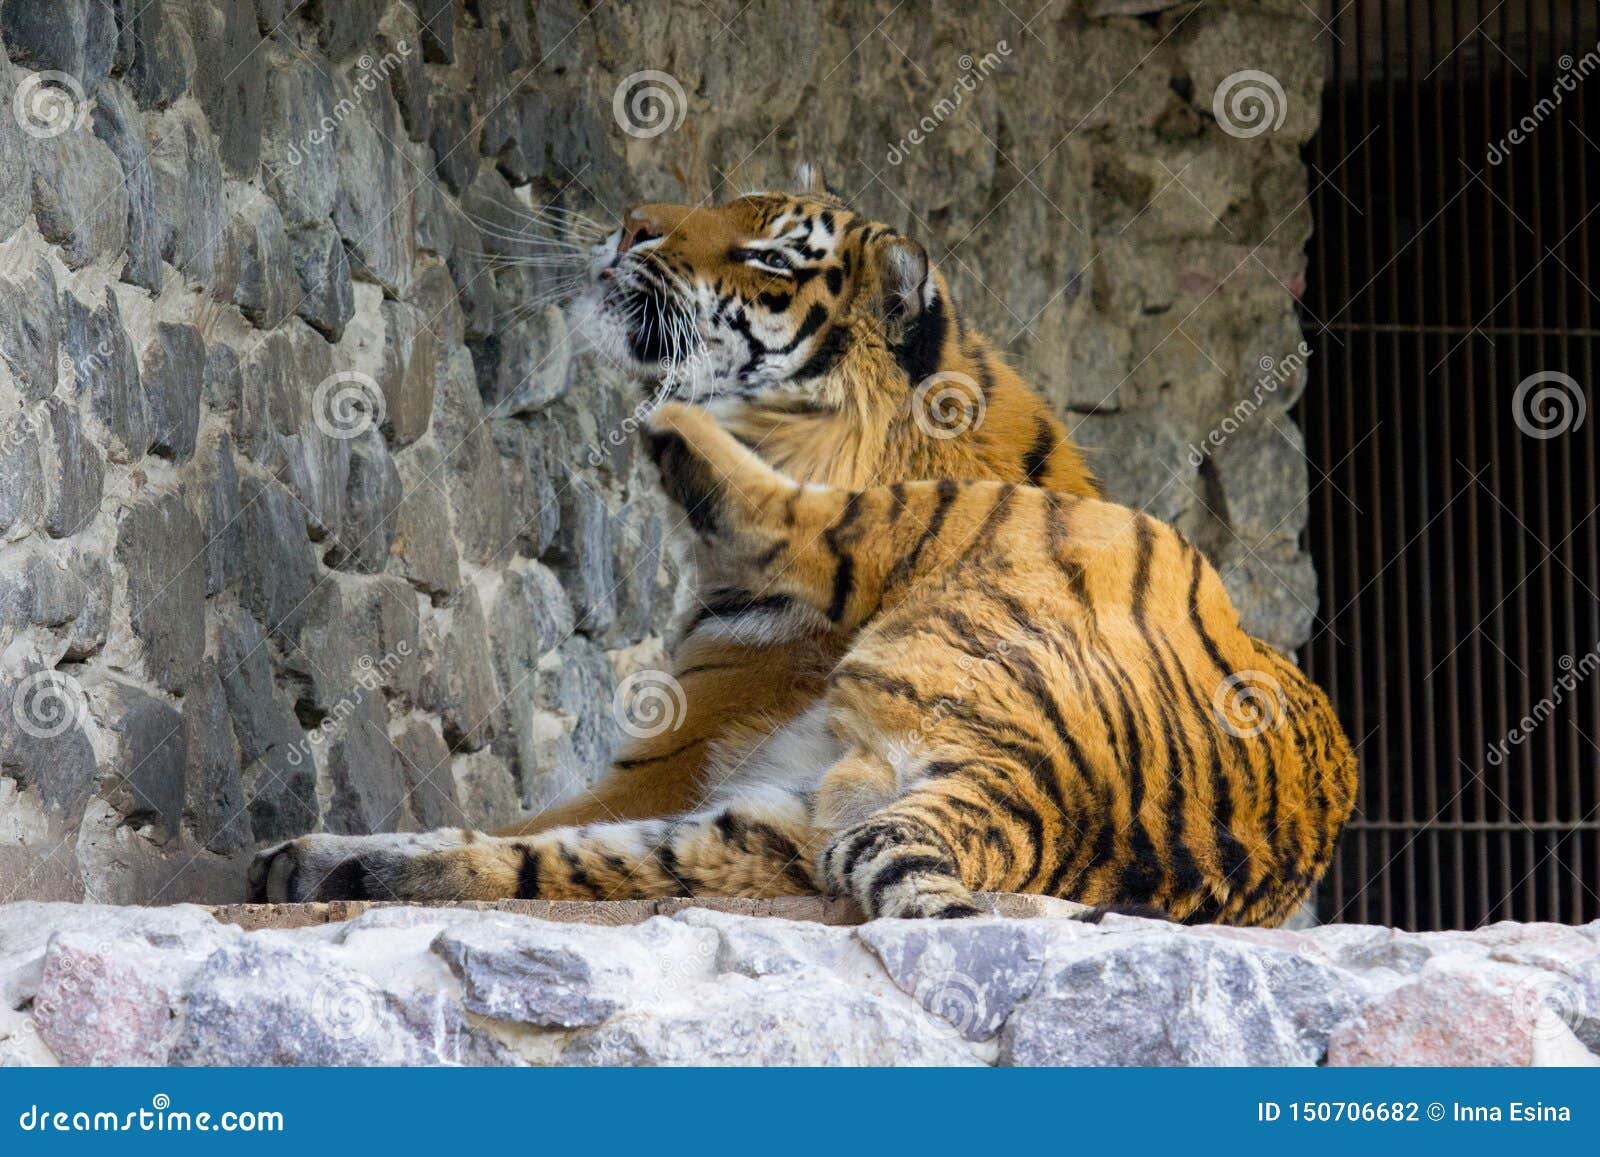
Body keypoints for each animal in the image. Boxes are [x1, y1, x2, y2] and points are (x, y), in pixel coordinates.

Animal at [250, 401, 1356, 923]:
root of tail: (1056, 790)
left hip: (987, 518)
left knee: (798, 517)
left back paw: (673, 425)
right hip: (757, 828)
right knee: (546, 865)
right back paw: (323, 862)